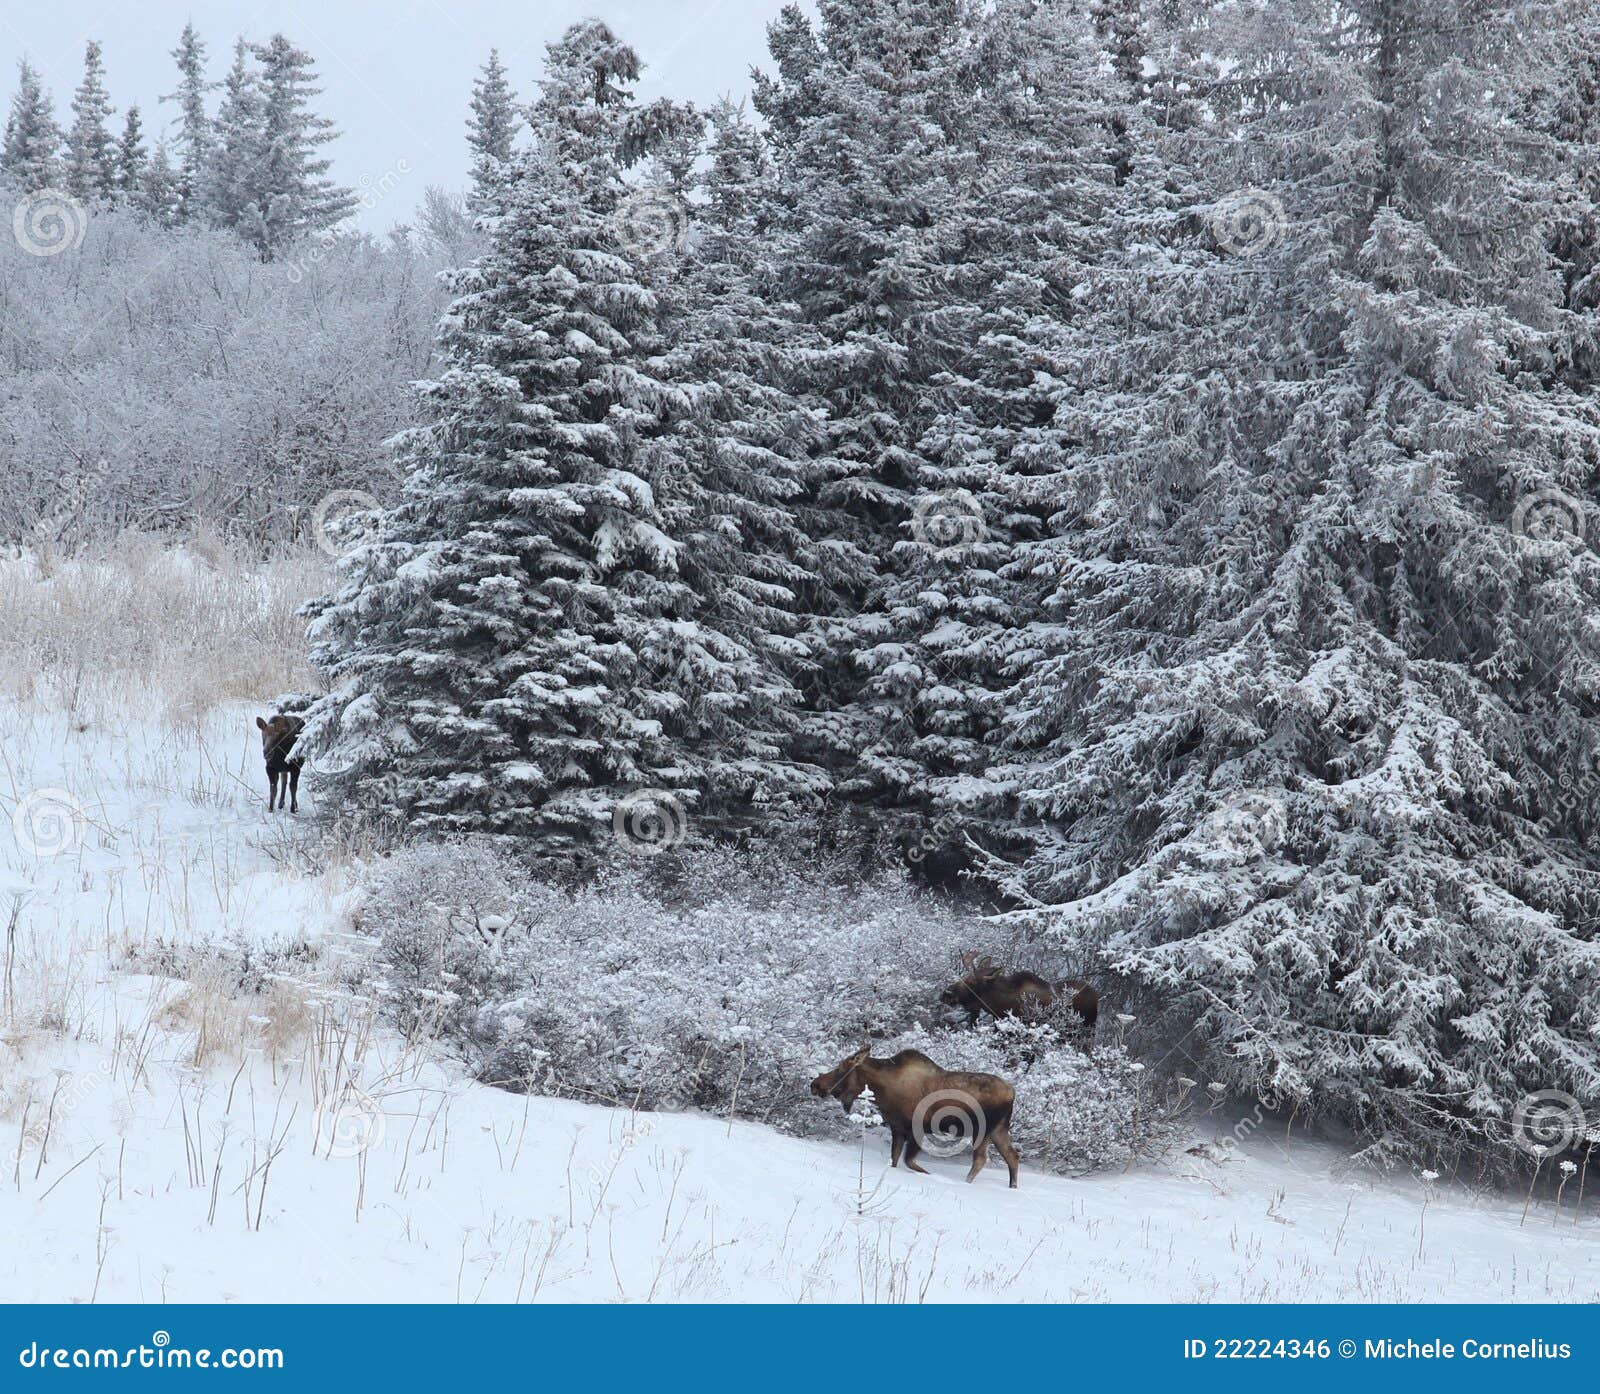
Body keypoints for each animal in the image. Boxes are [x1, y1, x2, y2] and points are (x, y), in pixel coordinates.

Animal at [809, 1045, 1021, 1188]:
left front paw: (929, 1175)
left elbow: (908, 1161)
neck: (882, 1090)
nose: (815, 1084)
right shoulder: (898, 1128)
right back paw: (1013, 1187)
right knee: (1012, 1156)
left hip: (983, 1129)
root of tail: (1012, 1092)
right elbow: (895, 1159)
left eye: (840, 1068)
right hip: (999, 1129)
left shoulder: (917, 1129)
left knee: (981, 1159)